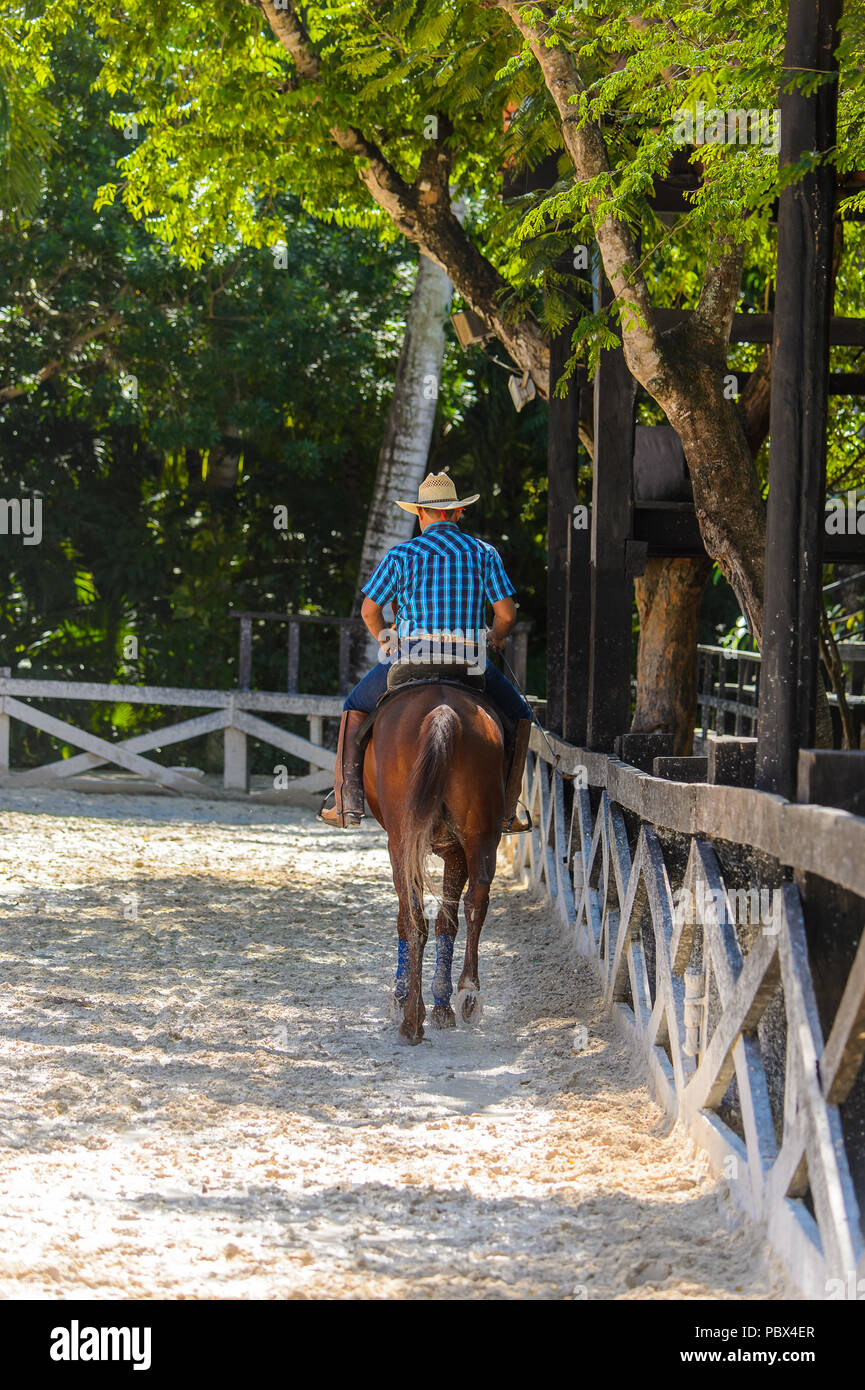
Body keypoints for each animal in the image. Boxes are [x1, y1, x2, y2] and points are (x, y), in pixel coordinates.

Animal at [363, 681, 507, 1045]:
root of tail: (444, 711)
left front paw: (401, 998)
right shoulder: (455, 850)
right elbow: (448, 922)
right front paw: (442, 1004)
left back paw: (413, 1018)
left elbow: (410, 919)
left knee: (414, 918)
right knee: (475, 902)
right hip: (481, 836)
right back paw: (467, 996)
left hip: (402, 842)